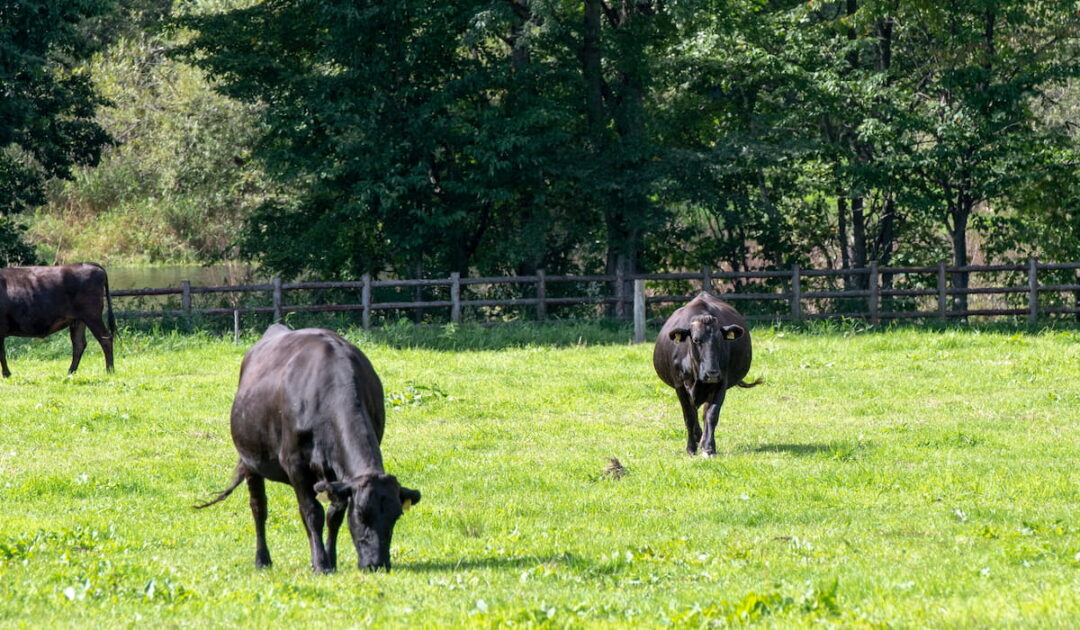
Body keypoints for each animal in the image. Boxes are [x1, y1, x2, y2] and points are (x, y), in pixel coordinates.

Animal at [198, 324, 421, 573]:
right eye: (361, 515)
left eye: (396, 516)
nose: (377, 564)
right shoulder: (295, 465)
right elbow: (312, 513)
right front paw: (321, 564)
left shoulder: (339, 479)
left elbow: (334, 515)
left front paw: (331, 559)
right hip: (250, 460)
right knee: (258, 507)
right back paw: (262, 559)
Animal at [653, 292, 761, 456]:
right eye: (696, 340)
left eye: (720, 340)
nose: (712, 373)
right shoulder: (679, 386)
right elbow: (689, 417)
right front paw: (691, 448)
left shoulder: (721, 383)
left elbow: (711, 415)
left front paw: (709, 447)